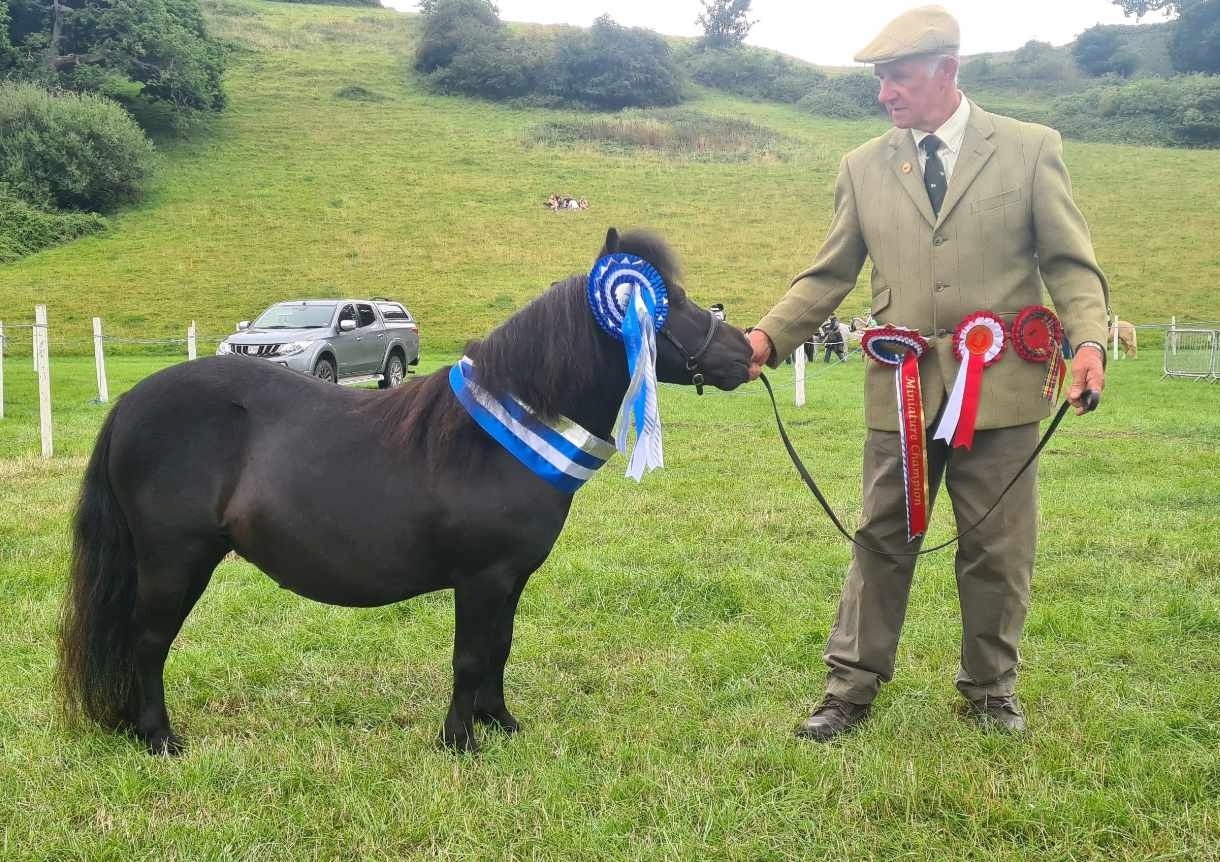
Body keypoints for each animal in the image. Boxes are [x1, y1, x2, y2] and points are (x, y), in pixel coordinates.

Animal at [57, 228, 753, 755]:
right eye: (672, 302)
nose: (745, 352)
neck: (502, 434)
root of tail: (130, 402)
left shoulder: (512, 578)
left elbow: (499, 649)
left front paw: (501, 723)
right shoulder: (481, 577)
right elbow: (469, 657)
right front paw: (460, 741)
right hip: (175, 560)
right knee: (148, 642)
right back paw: (159, 738)